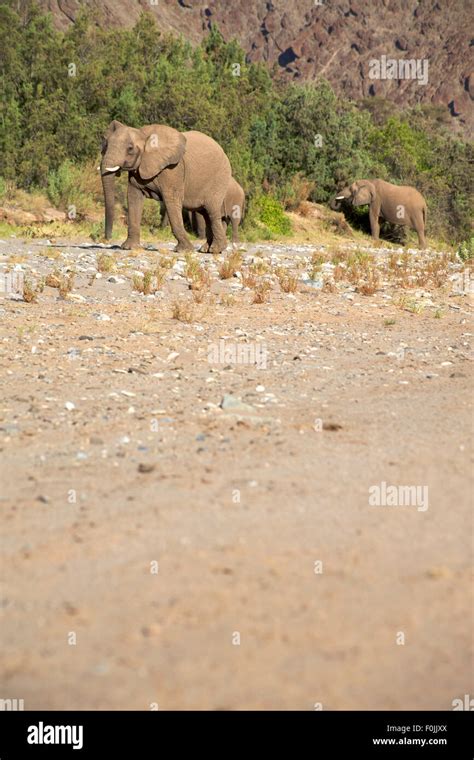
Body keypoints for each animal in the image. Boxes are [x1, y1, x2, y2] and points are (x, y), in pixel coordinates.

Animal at [100, 120, 231, 253]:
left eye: (130, 148)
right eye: (106, 145)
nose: (108, 238)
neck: (144, 135)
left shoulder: (173, 169)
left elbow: (171, 200)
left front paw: (184, 250)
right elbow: (133, 198)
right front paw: (129, 247)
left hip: (220, 179)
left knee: (212, 211)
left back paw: (215, 249)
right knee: (205, 213)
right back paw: (205, 249)